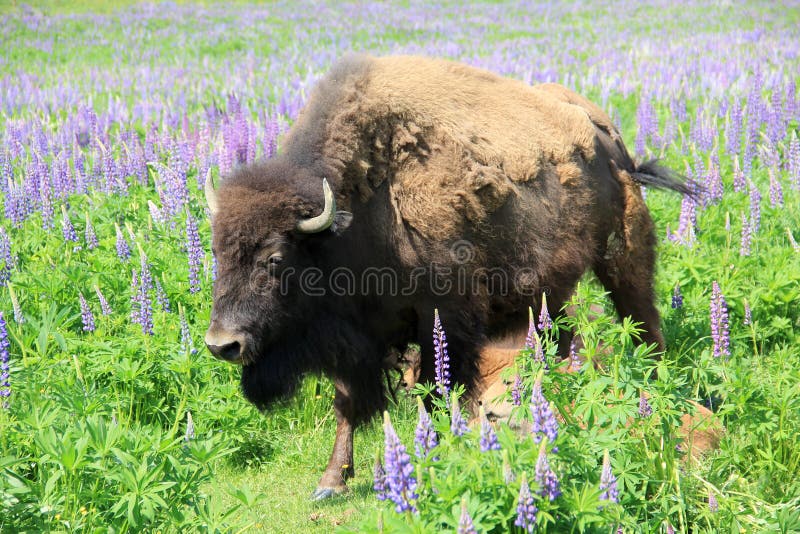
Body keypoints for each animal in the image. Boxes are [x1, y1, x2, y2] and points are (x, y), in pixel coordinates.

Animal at [203, 54, 691, 499]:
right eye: (217, 252)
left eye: (275, 258)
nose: (222, 344)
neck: (362, 217)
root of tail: (607, 136)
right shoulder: (355, 335)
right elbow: (347, 402)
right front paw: (330, 482)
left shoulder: (445, 319)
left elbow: (437, 391)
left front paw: (433, 458)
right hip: (551, 288)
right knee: (561, 338)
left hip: (623, 256)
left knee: (644, 322)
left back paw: (656, 396)